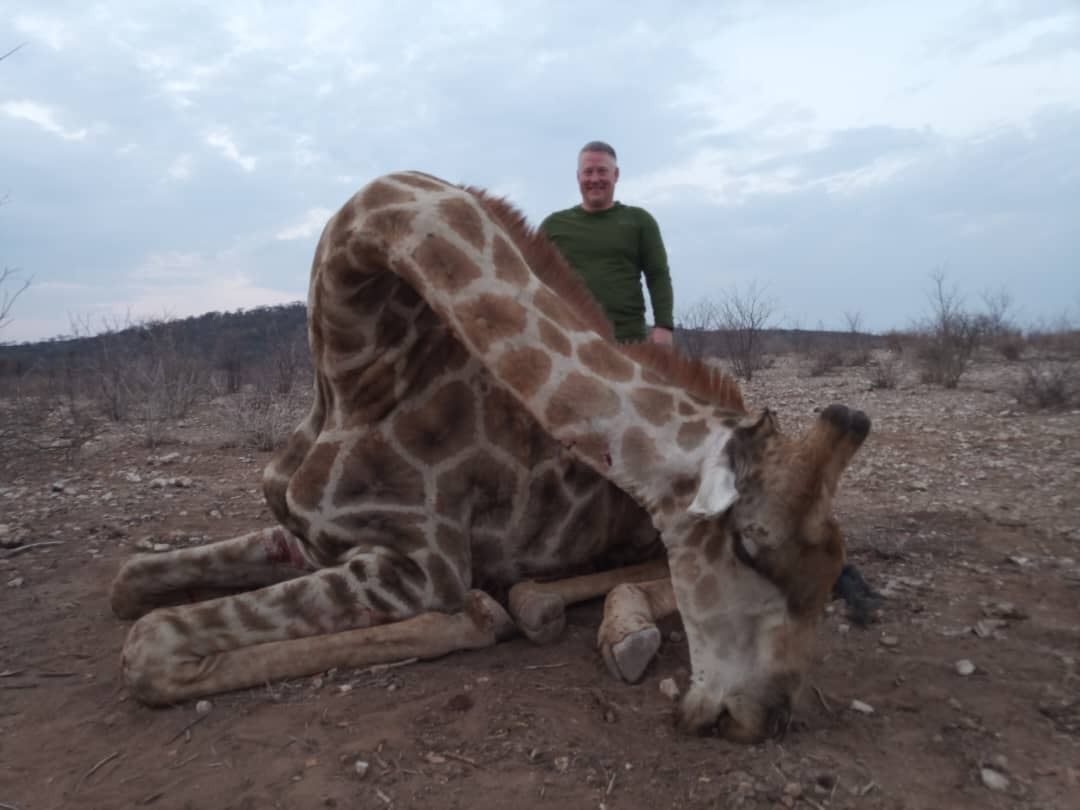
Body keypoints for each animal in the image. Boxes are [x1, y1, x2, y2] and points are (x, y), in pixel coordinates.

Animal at [110, 171, 871, 742]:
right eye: (747, 548)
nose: (763, 719)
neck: (353, 366)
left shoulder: (417, 568)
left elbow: (150, 642)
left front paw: (478, 613)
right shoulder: (303, 539)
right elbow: (129, 585)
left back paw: (582, 620)